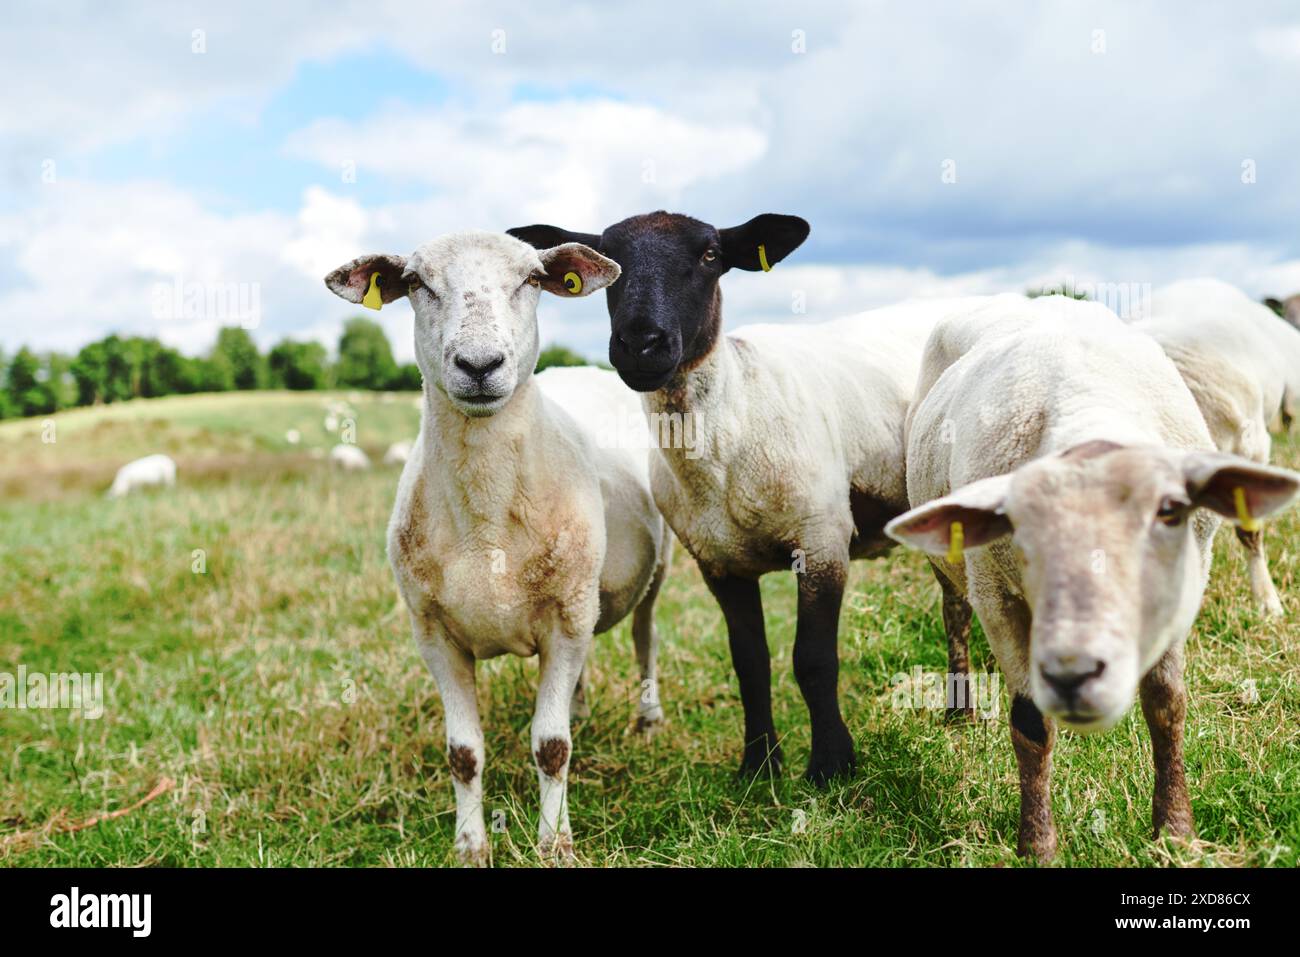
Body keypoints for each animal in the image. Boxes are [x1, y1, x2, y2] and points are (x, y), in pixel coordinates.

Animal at [324, 231, 670, 864]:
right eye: (416, 283)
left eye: (531, 279)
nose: (480, 365)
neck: (486, 524)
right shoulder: (434, 634)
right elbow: (463, 754)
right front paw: (470, 846)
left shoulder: (564, 619)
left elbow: (552, 747)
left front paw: (555, 843)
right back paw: (580, 704)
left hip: (650, 574)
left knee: (645, 639)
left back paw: (649, 718)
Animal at [511, 210, 998, 780]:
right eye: (609, 260)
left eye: (710, 256)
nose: (641, 344)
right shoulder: (718, 563)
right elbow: (750, 663)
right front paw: (759, 765)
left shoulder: (822, 538)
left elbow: (813, 659)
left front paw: (831, 765)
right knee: (955, 604)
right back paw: (959, 712)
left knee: (960, 602)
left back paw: (965, 713)